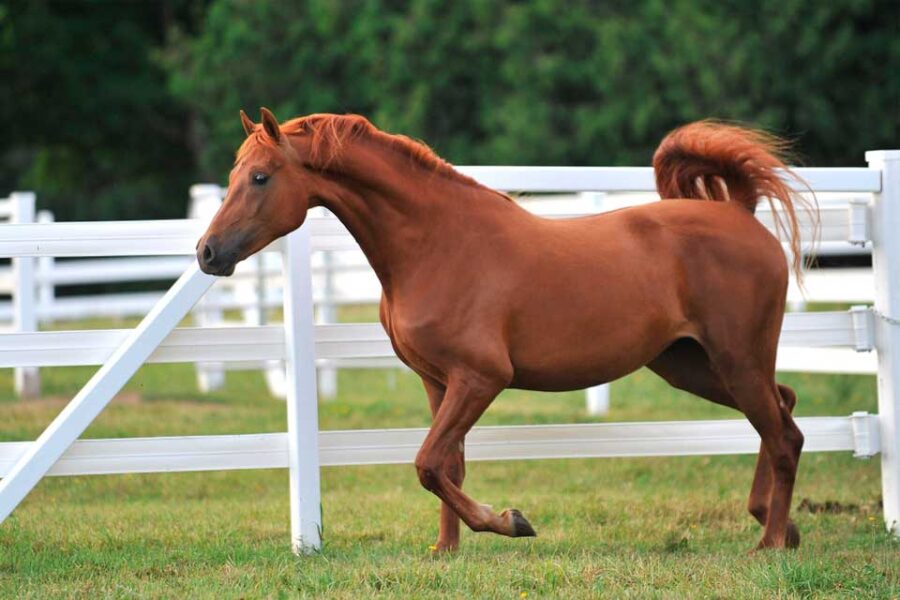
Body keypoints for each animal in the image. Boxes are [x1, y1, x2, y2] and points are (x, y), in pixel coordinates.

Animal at [197, 108, 813, 552]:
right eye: (232, 176)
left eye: (259, 177)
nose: (207, 254)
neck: (437, 244)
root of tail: (740, 214)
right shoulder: (438, 382)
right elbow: (447, 464)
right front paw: (444, 551)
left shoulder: (481, 378)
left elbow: (427, 463)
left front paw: (512, 521)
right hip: (692, 365)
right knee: (783, 409)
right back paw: (775, 523)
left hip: (734, 359)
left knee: (783, 434)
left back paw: (768, 542)